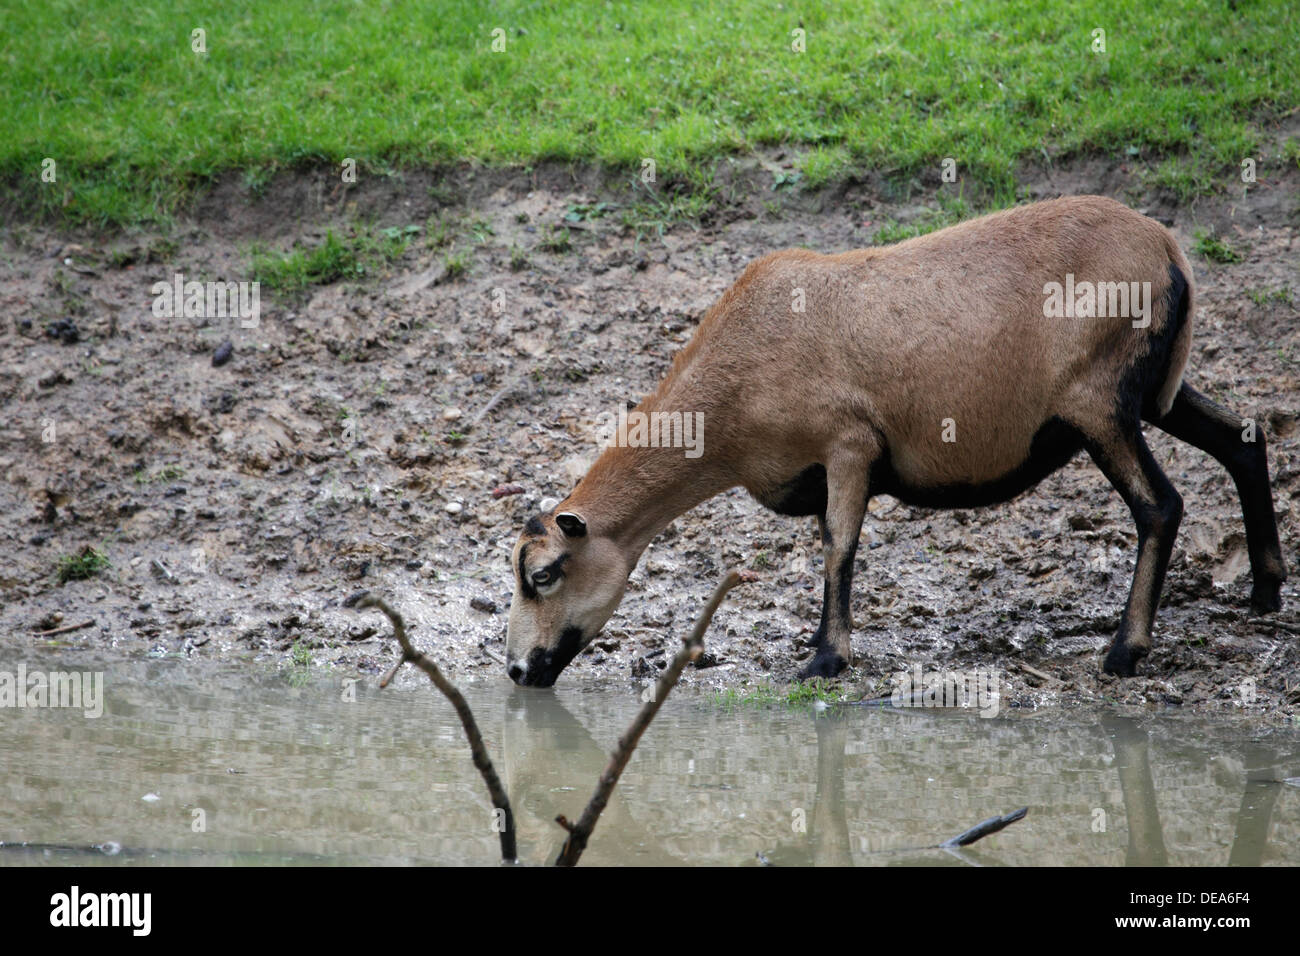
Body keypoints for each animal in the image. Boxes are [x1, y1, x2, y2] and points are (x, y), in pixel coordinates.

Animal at [505, 195, 1286, 687]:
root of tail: (1168, 249)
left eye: (541, 575)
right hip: (1151, 392)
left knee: (1161, 505)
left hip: (1099, 400)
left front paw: (825, 659)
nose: (516, 671)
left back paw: (1125, 651)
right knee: (1244, 441)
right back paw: (1266, 591)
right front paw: (822, 647)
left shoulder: (848, 444)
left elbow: (838, 546)